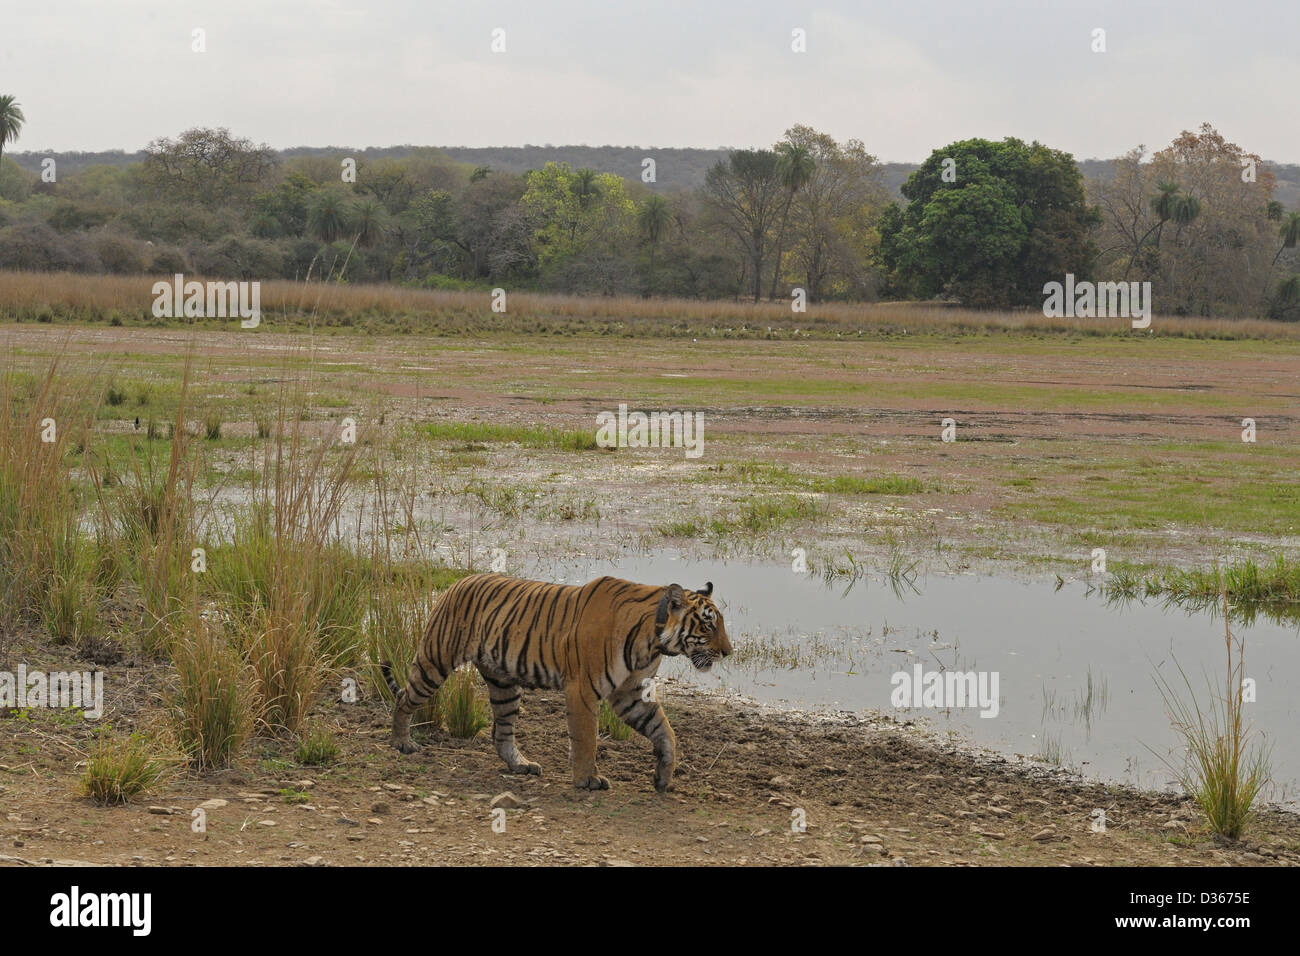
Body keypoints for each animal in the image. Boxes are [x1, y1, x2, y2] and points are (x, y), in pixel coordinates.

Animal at [380, 572, 730, 792]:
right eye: (708, 624)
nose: (728, 652)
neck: (653, 640)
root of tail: (458, 582)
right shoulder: (583, 688)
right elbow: (586, 737)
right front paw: (588, 780)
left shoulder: (631, 694)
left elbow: (665, 733)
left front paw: (663, 777)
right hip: (435, 660)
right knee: (404, 699)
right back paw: (402, 743)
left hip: (504, 685)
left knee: (501, 733)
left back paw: (521, 765)